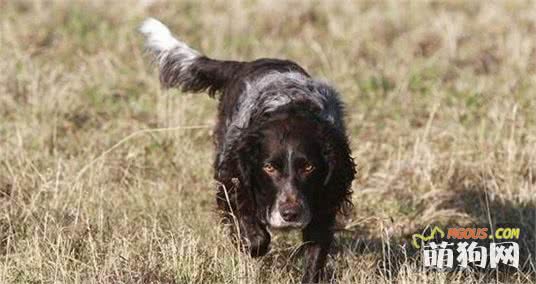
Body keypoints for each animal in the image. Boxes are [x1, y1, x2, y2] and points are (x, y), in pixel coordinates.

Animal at [140, 18, 356, 282]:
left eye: (308, 167)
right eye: (269, 167)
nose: (290, 214)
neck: (290, 108)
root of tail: (244, 64)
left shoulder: (324, 201)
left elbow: (315, 256)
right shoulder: (233, 176)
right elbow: (252, 232)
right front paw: (249, 243)